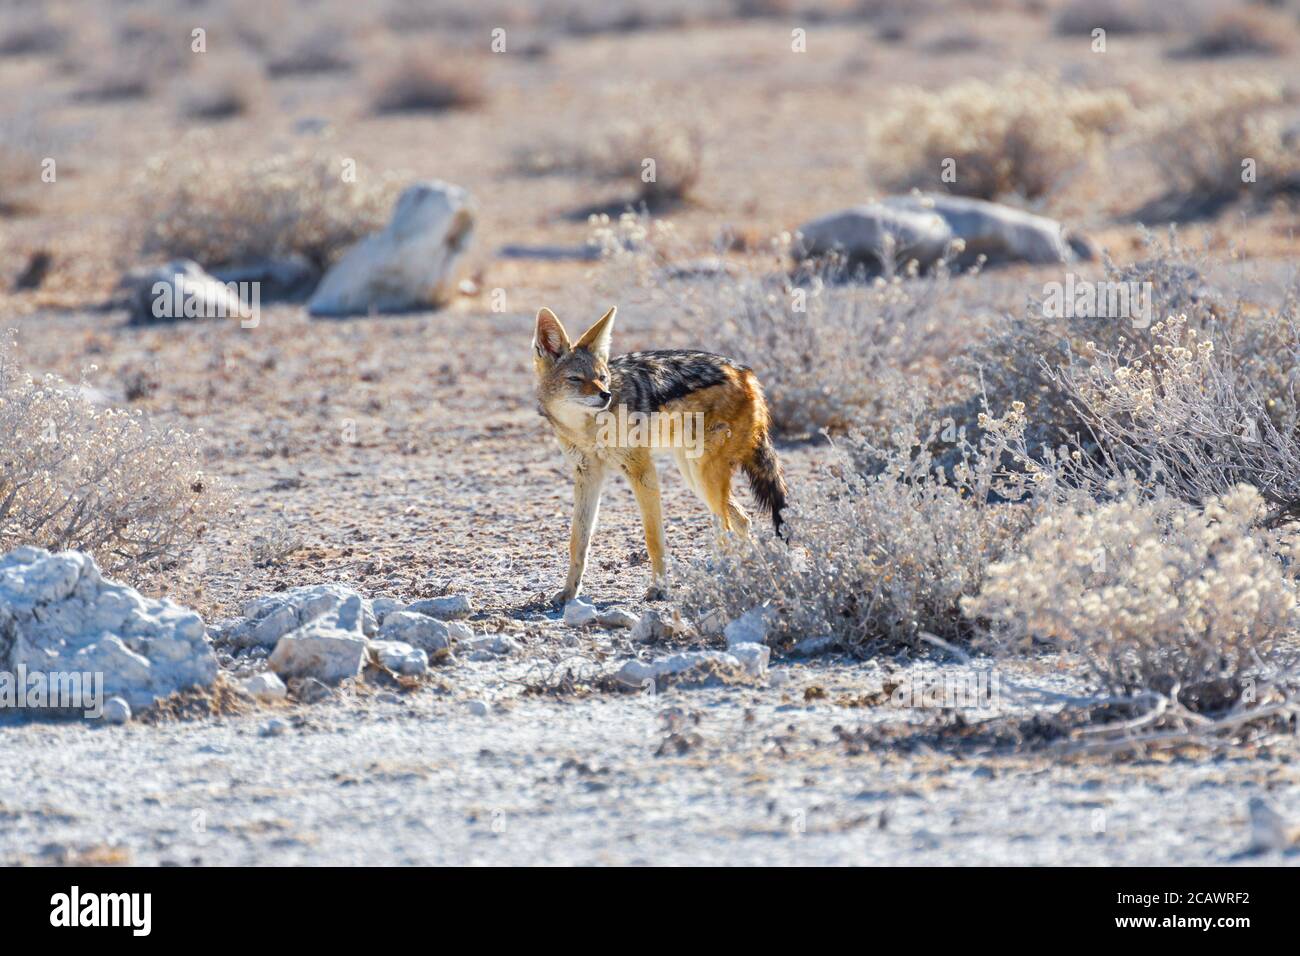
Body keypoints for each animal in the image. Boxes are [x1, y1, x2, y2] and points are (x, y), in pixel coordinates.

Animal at [533, 305, 787, 605]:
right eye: (575, 379)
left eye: (602, 377)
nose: (605, 395)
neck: (587, 428)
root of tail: (746, 372)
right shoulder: (588, 476)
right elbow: (577, 542)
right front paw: (569, 592)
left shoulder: (642, 470)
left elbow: (653, 538)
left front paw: (659, 588)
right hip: (695, 478)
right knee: (743, 520)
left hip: (704, 478)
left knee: (727, 528)